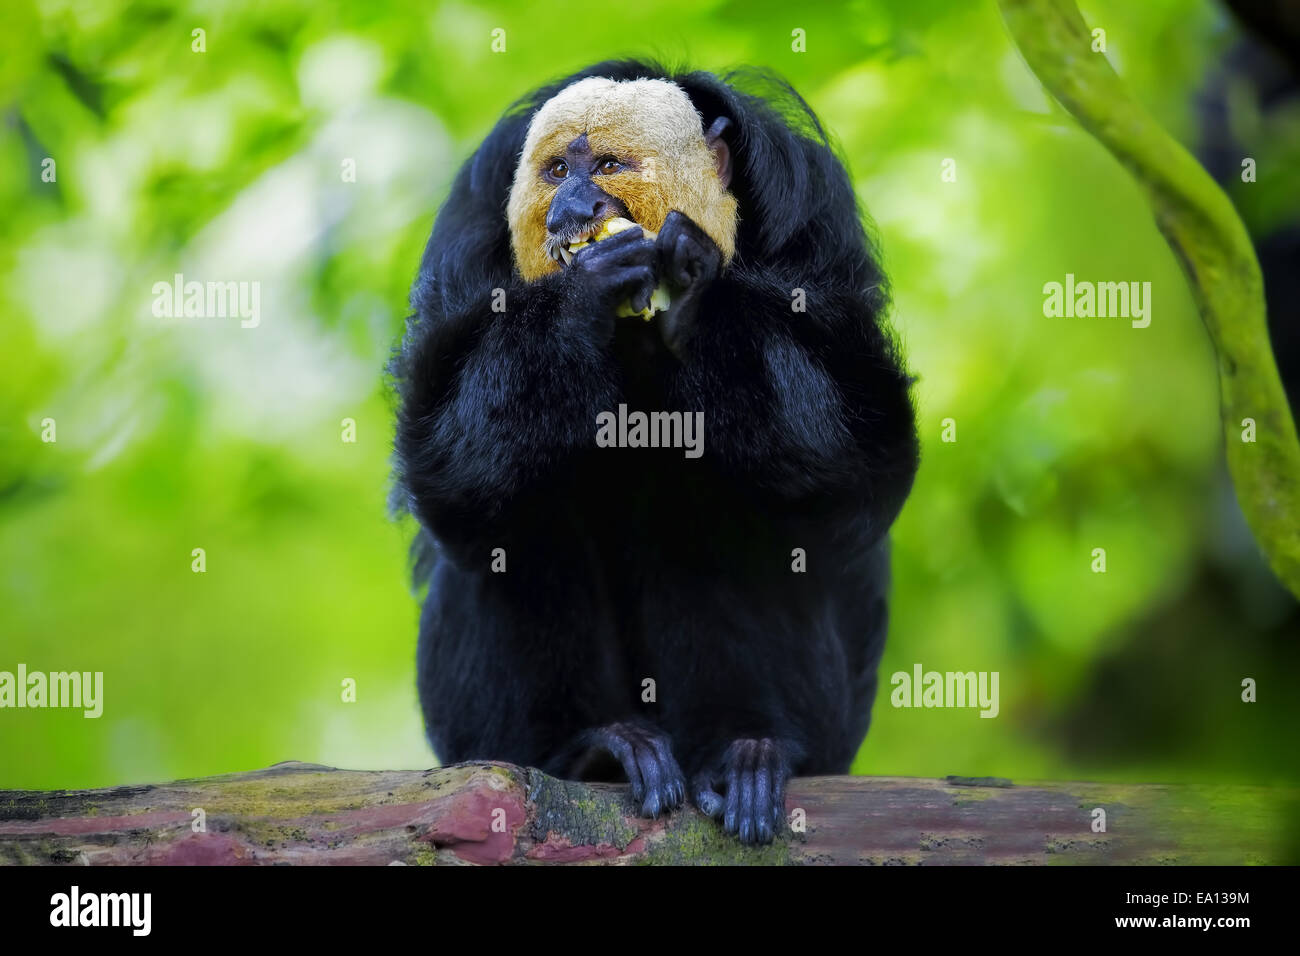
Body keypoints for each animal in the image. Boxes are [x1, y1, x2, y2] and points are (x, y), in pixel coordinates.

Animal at [391, 60, 919, 845]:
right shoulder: (472, 220)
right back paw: (592, 750)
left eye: (608, 167)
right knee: (523, 514)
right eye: (557, 171)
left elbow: (862, 471)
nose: (571, 210)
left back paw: (746, 751)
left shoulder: (815, 221)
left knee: (702, 499)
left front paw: (693, 286)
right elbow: (452, 468)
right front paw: (585, 295)